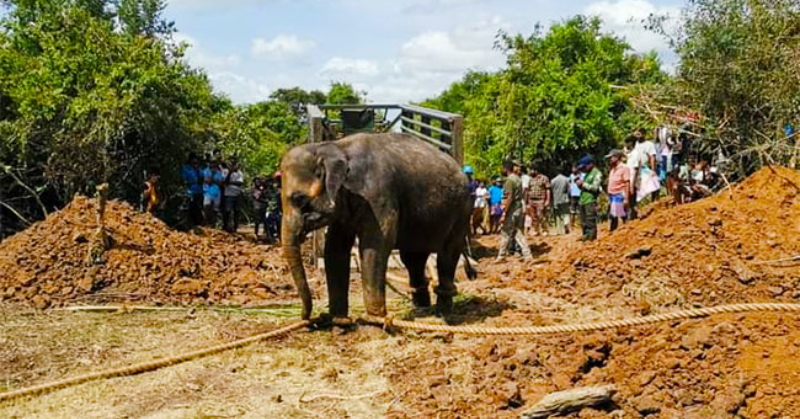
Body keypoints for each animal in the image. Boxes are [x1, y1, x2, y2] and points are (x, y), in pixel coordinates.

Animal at [280, 132, 472, 320]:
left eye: (299, 199)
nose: (306, 318)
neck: (333, 146)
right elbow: (335, 248)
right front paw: (338, 321)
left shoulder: (378, 195)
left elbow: (376, 245)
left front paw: (374, 321)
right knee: (413, 258)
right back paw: (421, 309)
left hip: (462, 210)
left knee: (447, 254)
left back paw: (442, 312)